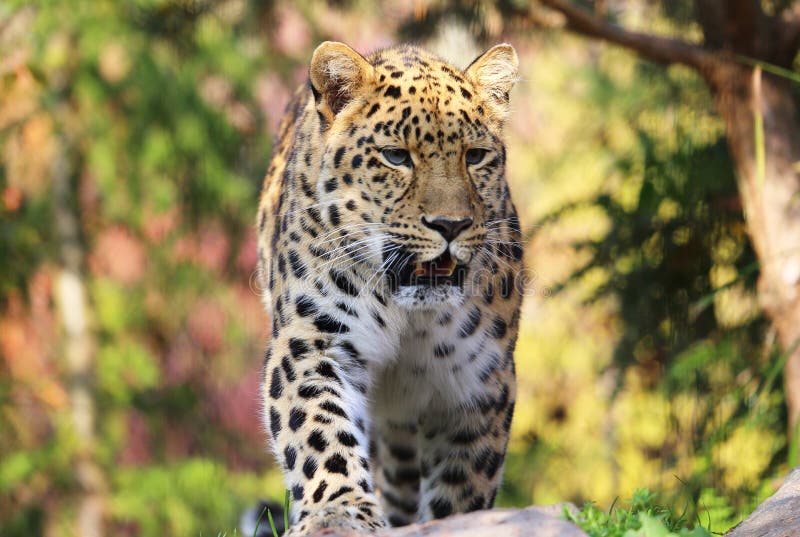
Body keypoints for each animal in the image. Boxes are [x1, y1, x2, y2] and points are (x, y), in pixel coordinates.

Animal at [255, 41, 523, 535]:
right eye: (396, 157)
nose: (450, 225)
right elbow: (320, 431)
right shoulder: (312, 342)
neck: (410, 316)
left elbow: (463, 482)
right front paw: (337, 513)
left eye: (475, 156)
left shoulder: (479, 380)